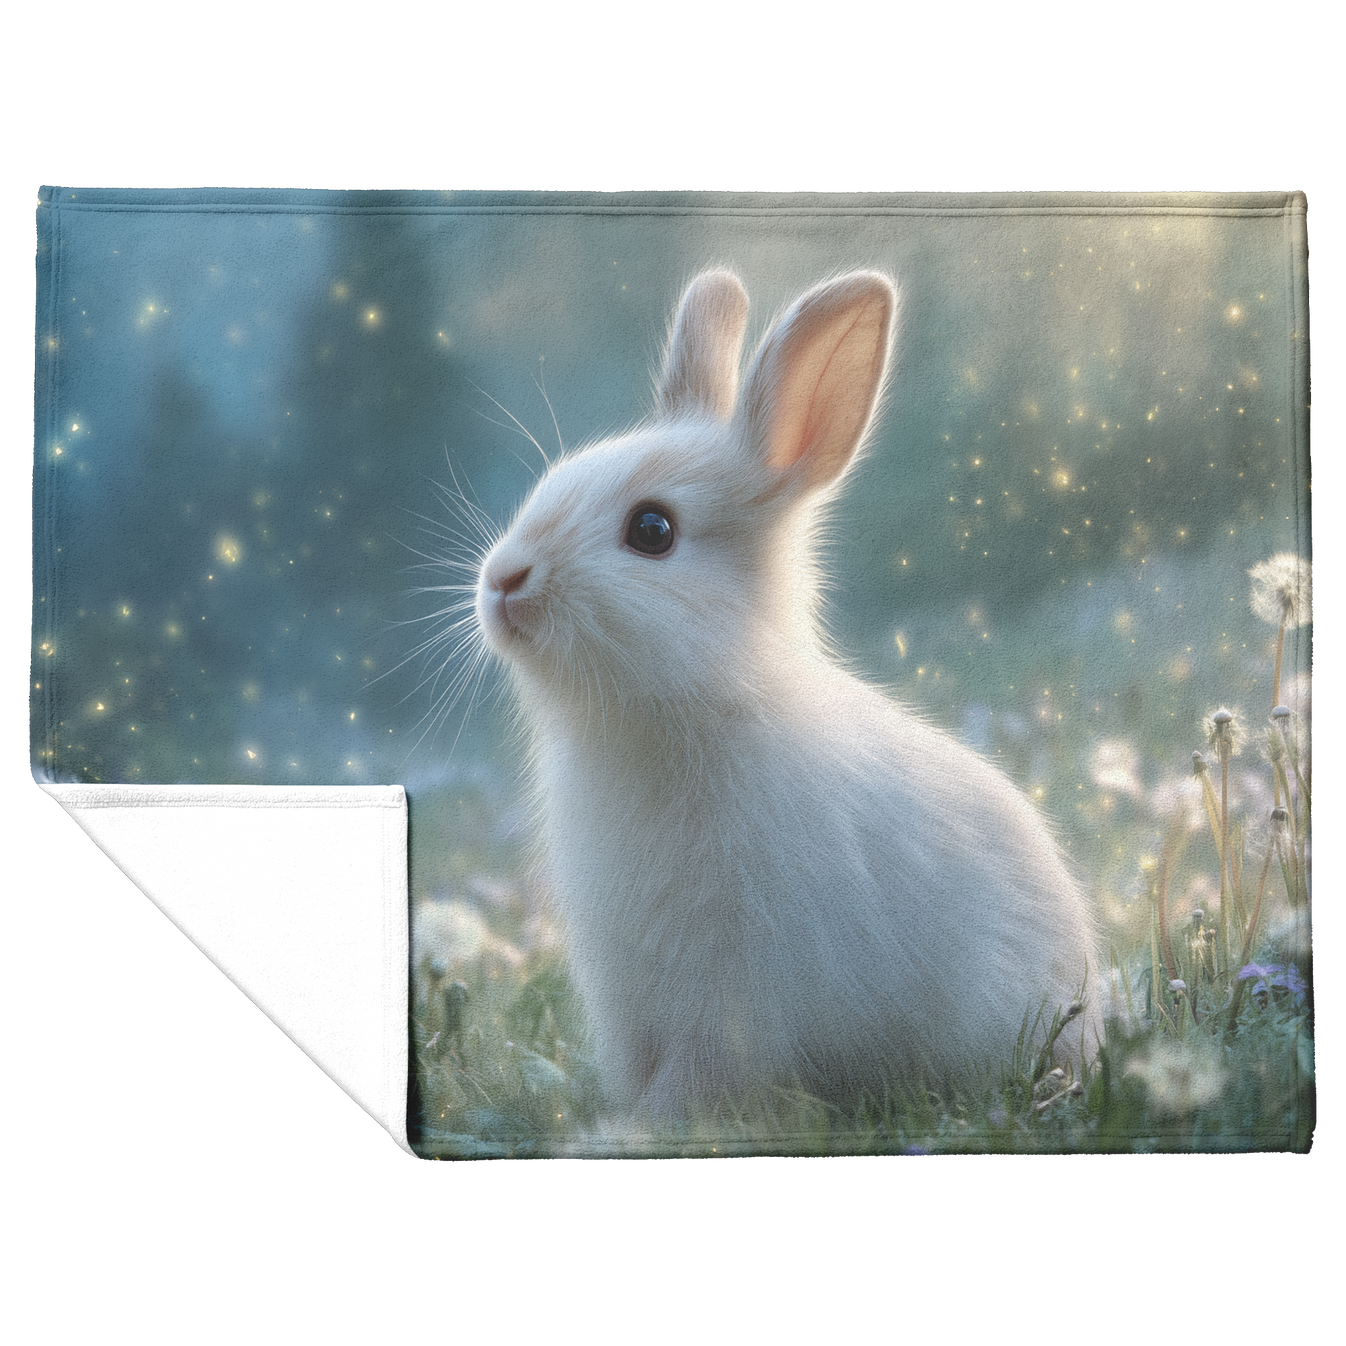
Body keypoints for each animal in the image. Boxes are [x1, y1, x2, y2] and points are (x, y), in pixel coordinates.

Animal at [474, 268, 1099, 1118]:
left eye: (652, 530)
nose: (504, 580)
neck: (703, 701)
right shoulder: (629, 998)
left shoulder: (738, 990)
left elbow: (699, 1077)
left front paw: (642, 1128)